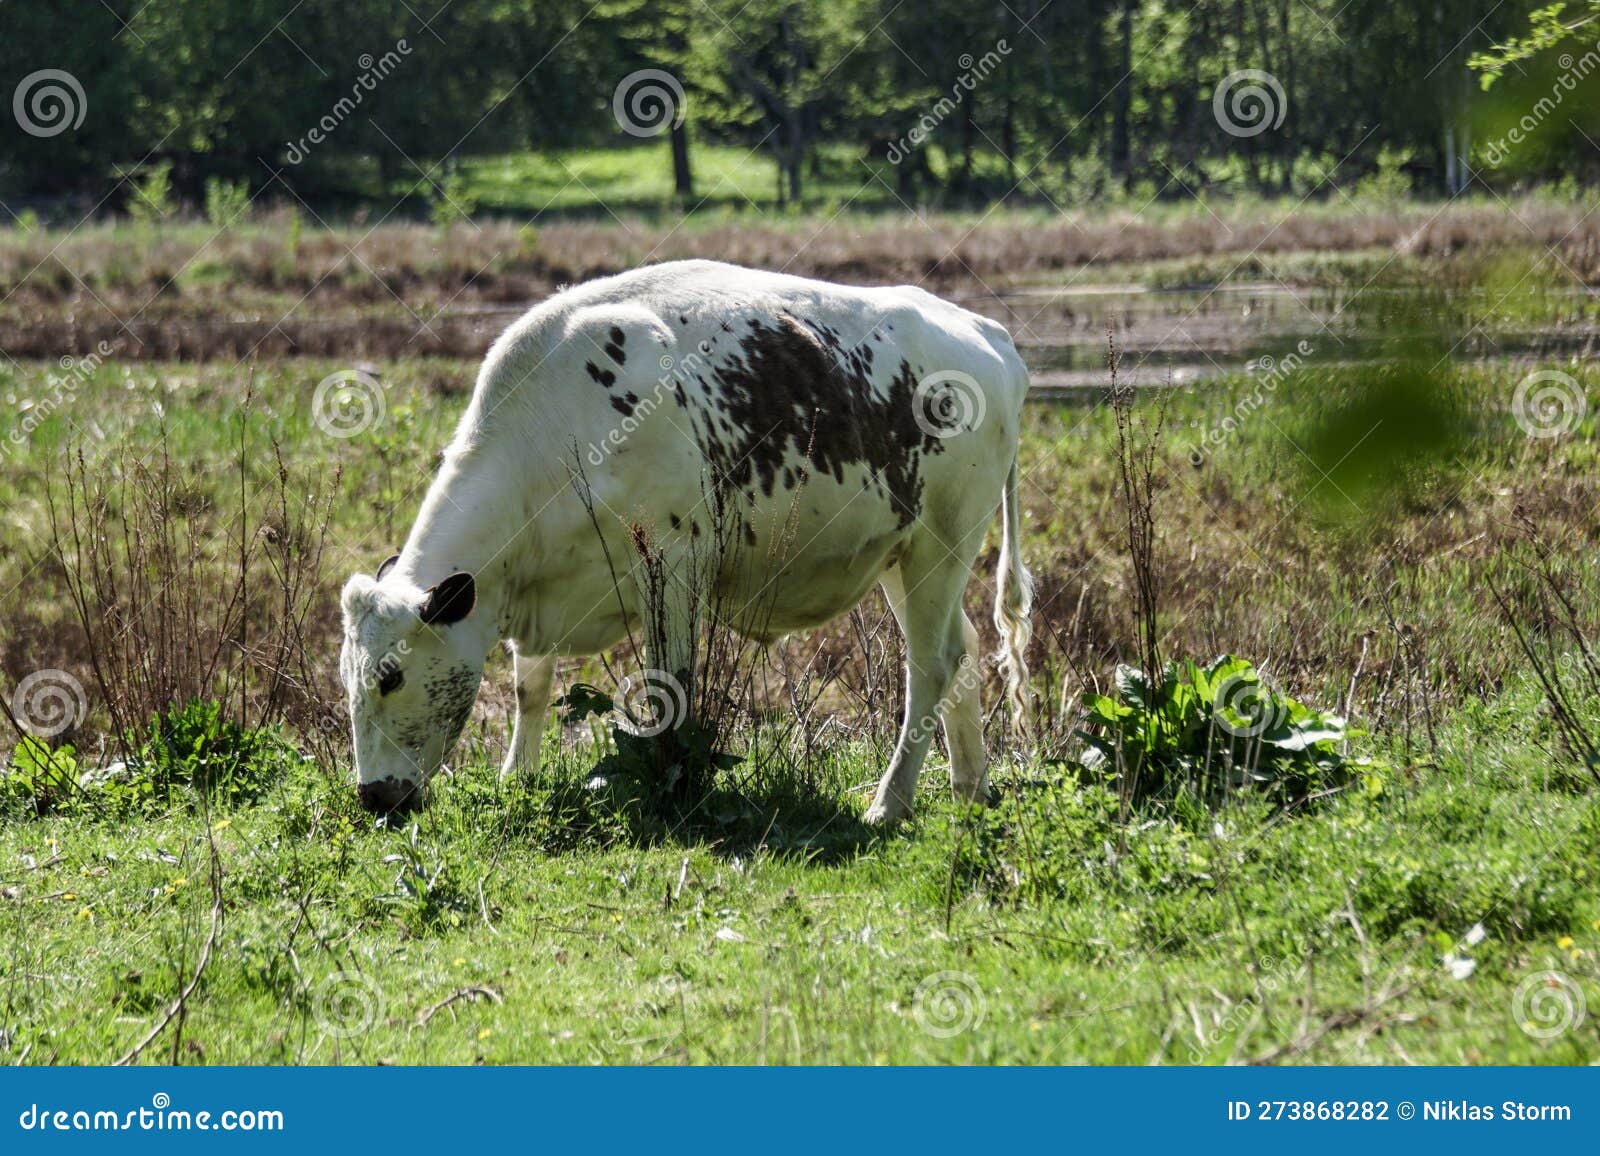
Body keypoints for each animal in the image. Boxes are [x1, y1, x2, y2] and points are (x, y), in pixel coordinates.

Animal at [339, 259, 1032, 824]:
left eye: (391, 676)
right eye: (347, 677)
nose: (374, 796)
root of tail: (985, 332)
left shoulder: (672, 568)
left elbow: (669, 686)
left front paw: (671, 784)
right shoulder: (526, 586)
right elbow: (528, 688)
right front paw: (518, 777)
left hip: (943, 545)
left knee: (931, 665)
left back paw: (890, 802)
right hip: (904, 558)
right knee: (966, 649)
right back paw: (970, 786)